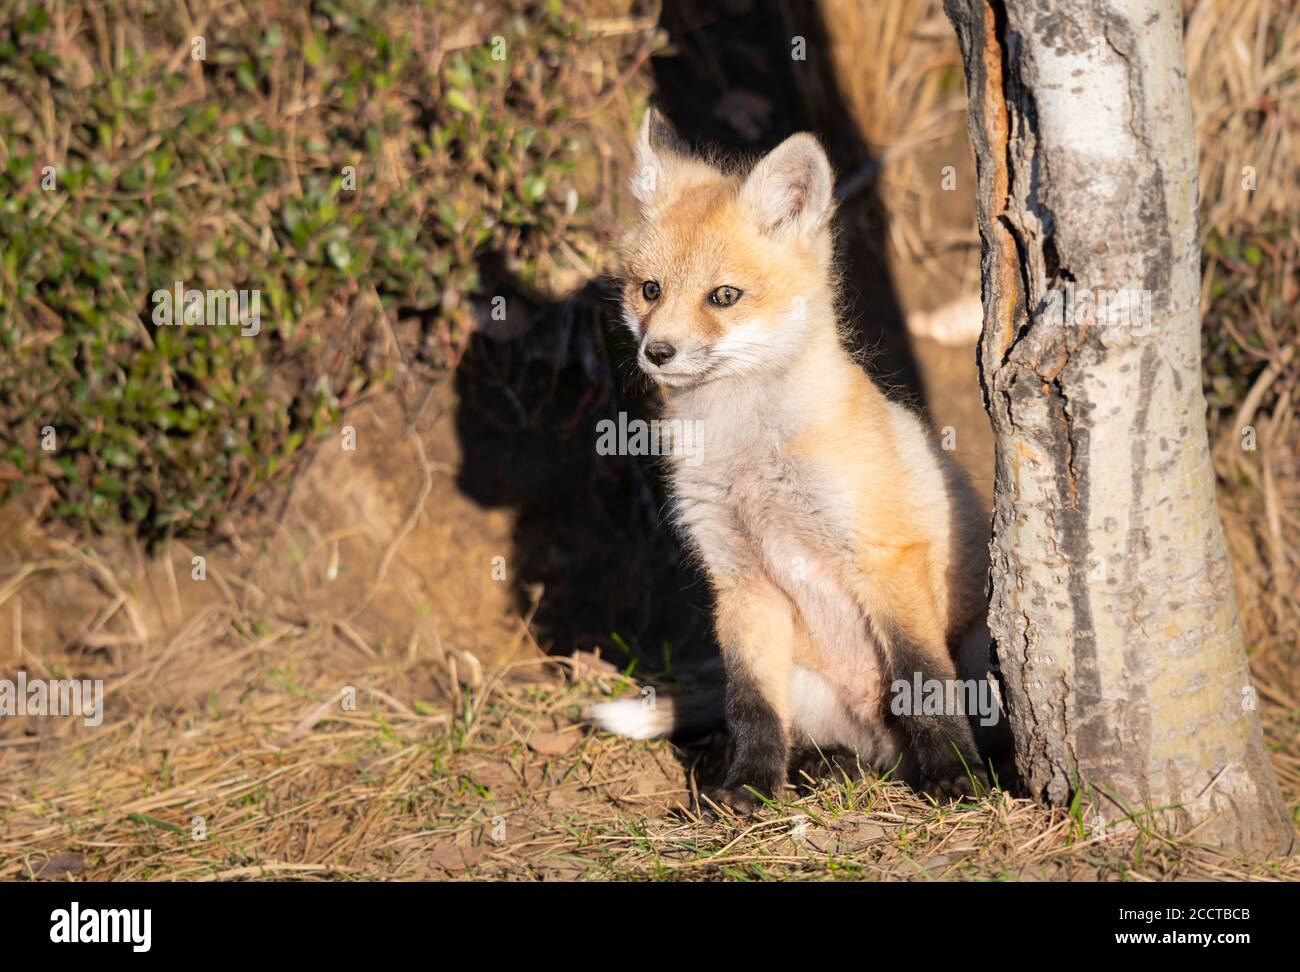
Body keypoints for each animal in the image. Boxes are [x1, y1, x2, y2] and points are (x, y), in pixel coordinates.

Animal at [586, 109, 1002, 812]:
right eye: (650, 290)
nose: (656, 352)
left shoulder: (885, 556)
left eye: (724, 296)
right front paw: (747, 788)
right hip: (810, 684)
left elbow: (924, 682)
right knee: (846, 749)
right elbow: (751, 707)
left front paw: (956, 774)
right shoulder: (739, 581)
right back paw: (823, 769)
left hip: (978, 646)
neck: (751, 456)